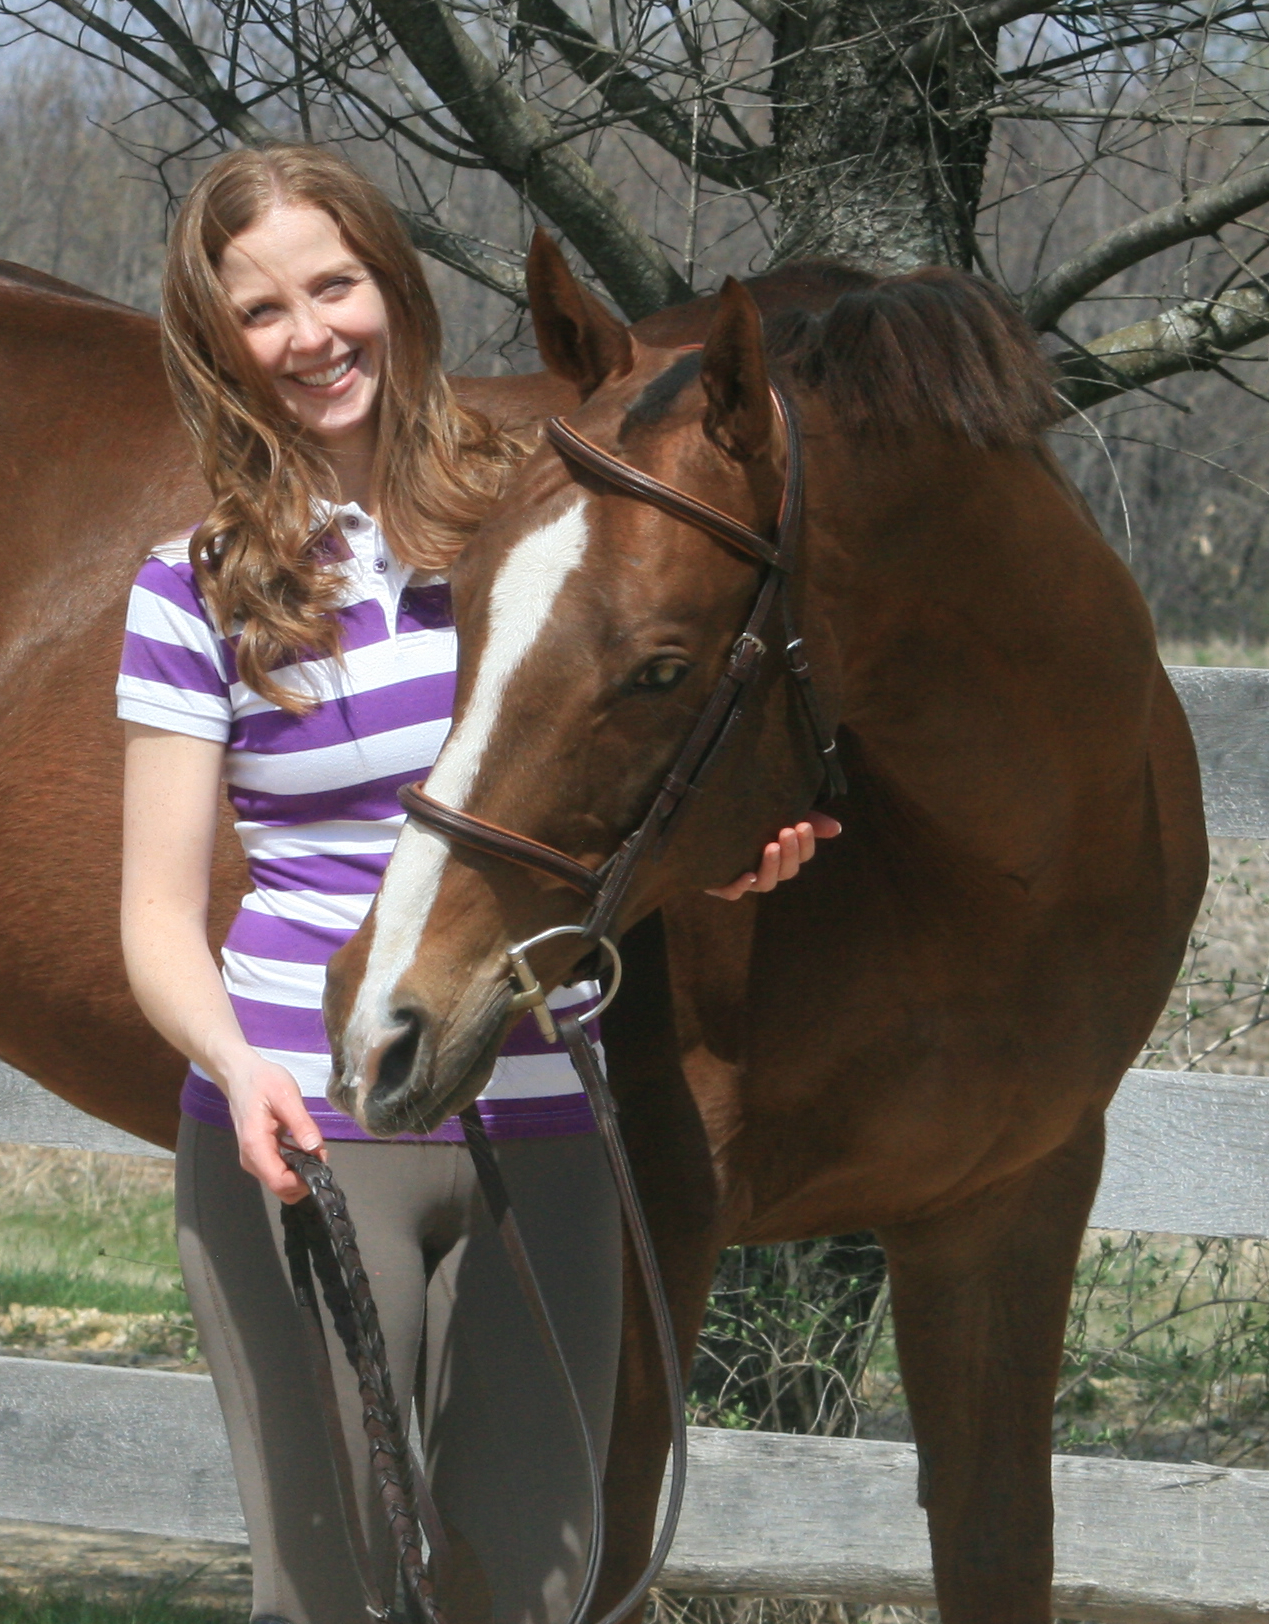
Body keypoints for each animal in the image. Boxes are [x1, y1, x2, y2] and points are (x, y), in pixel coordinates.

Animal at [320, 232, 1210, 1624]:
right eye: (456, 605)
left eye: (662, 669)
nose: (382, 1020)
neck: (978, 876)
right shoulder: (647, 1224)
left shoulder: (1009, 1201)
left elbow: (998, 1542)